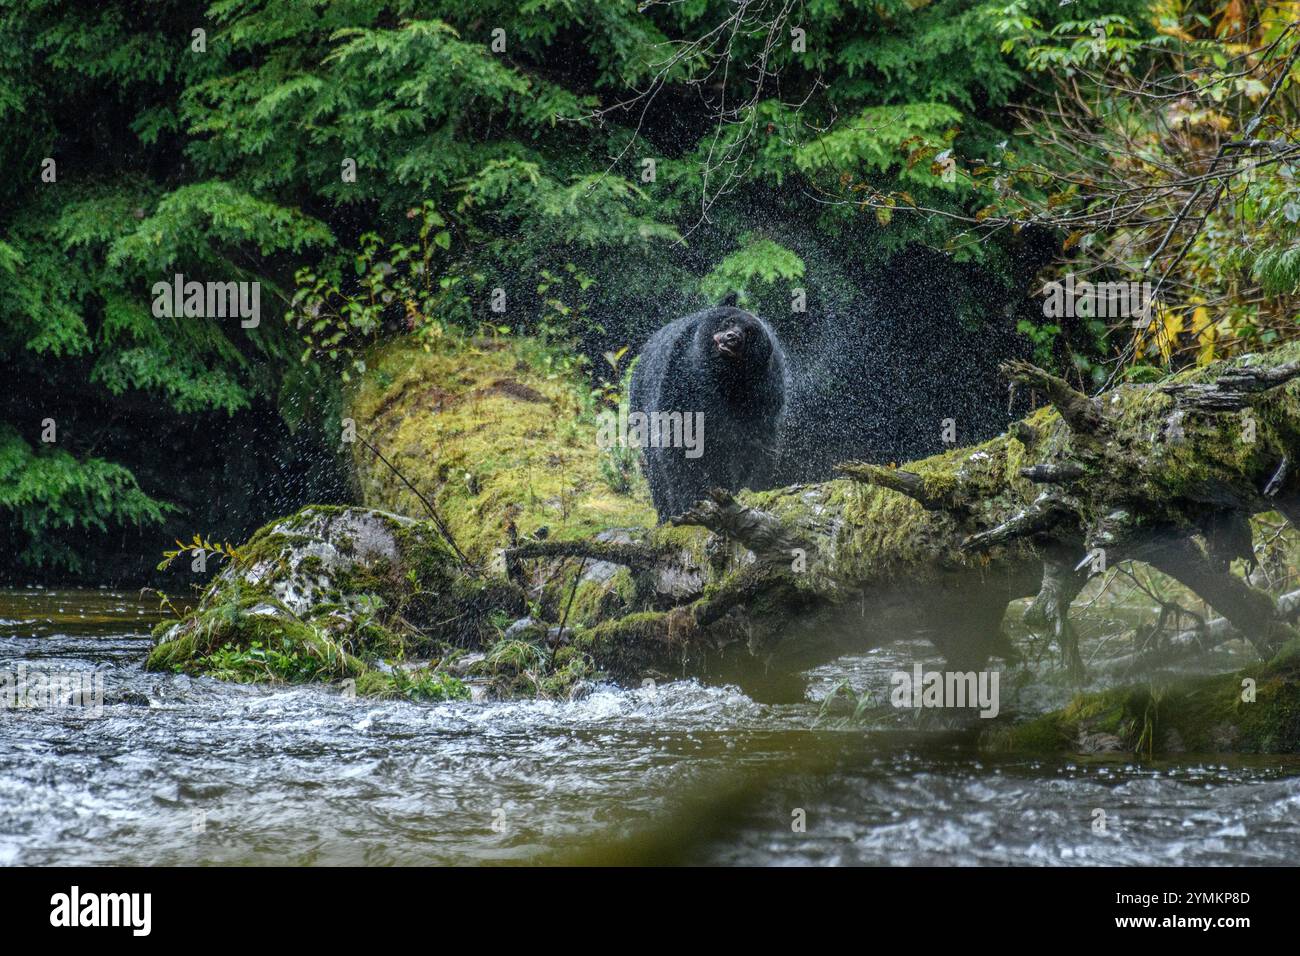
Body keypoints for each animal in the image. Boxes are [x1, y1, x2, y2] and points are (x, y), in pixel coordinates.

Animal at [628, 302, 789, 521]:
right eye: (729, 322)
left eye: (749, 332)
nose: (732, 337)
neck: (724, 380)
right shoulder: (682, 386)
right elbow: (679, 447)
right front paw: (691, 504)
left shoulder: (763, 398)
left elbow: (757, 450)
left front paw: (746, 493)